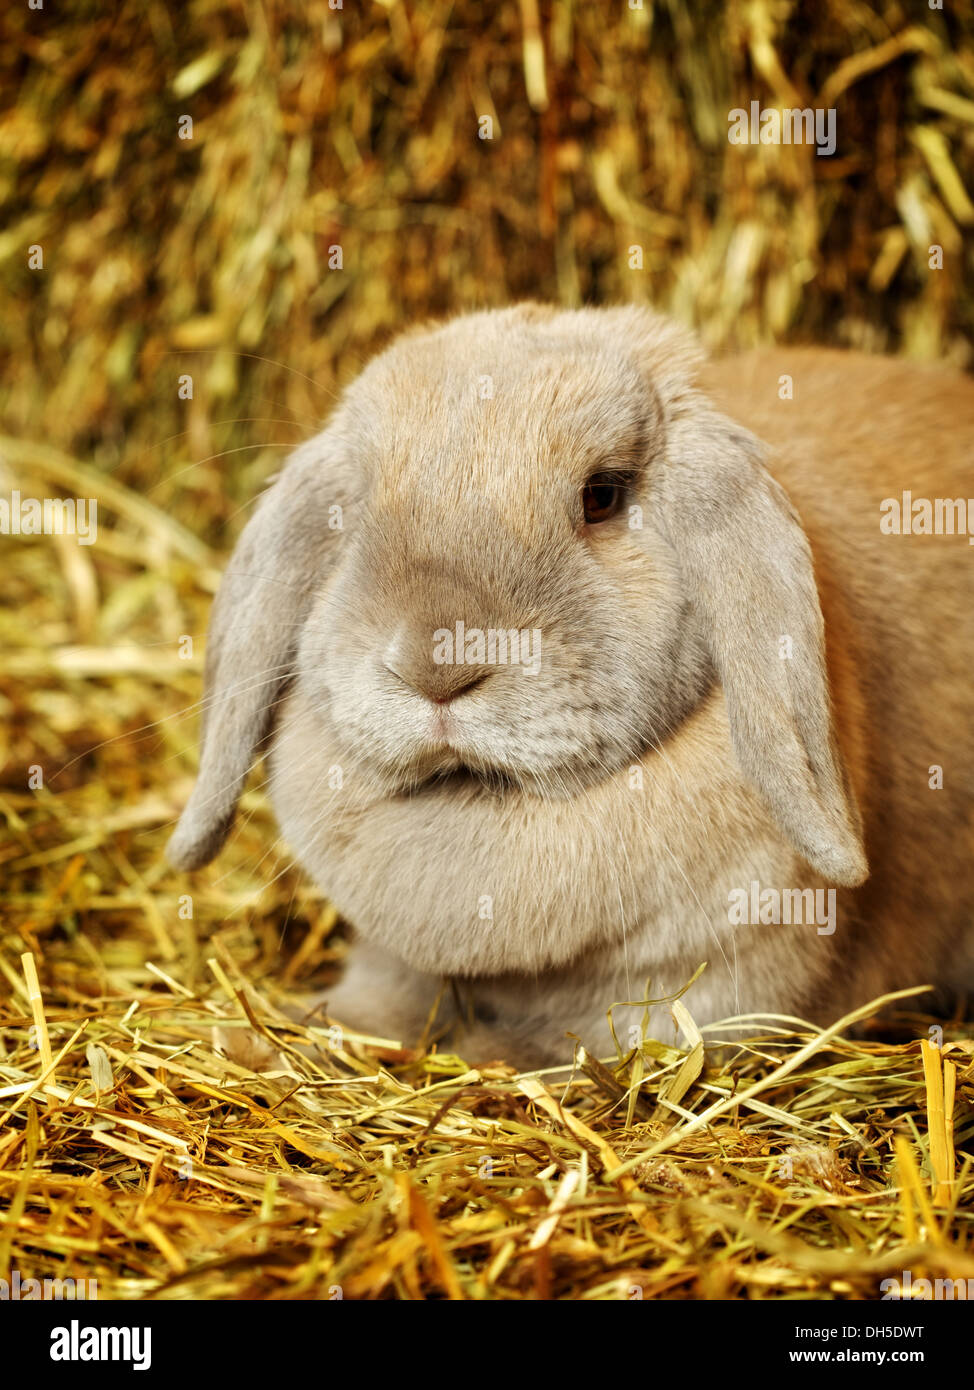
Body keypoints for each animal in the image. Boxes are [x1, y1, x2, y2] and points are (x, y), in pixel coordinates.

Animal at [167, 303, 974, 1068]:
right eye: (354, 506)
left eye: (602, 496)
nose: (435, 668)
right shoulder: (388, 962)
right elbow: (375, 1004)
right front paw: (276, 1039)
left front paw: (494, 1055)